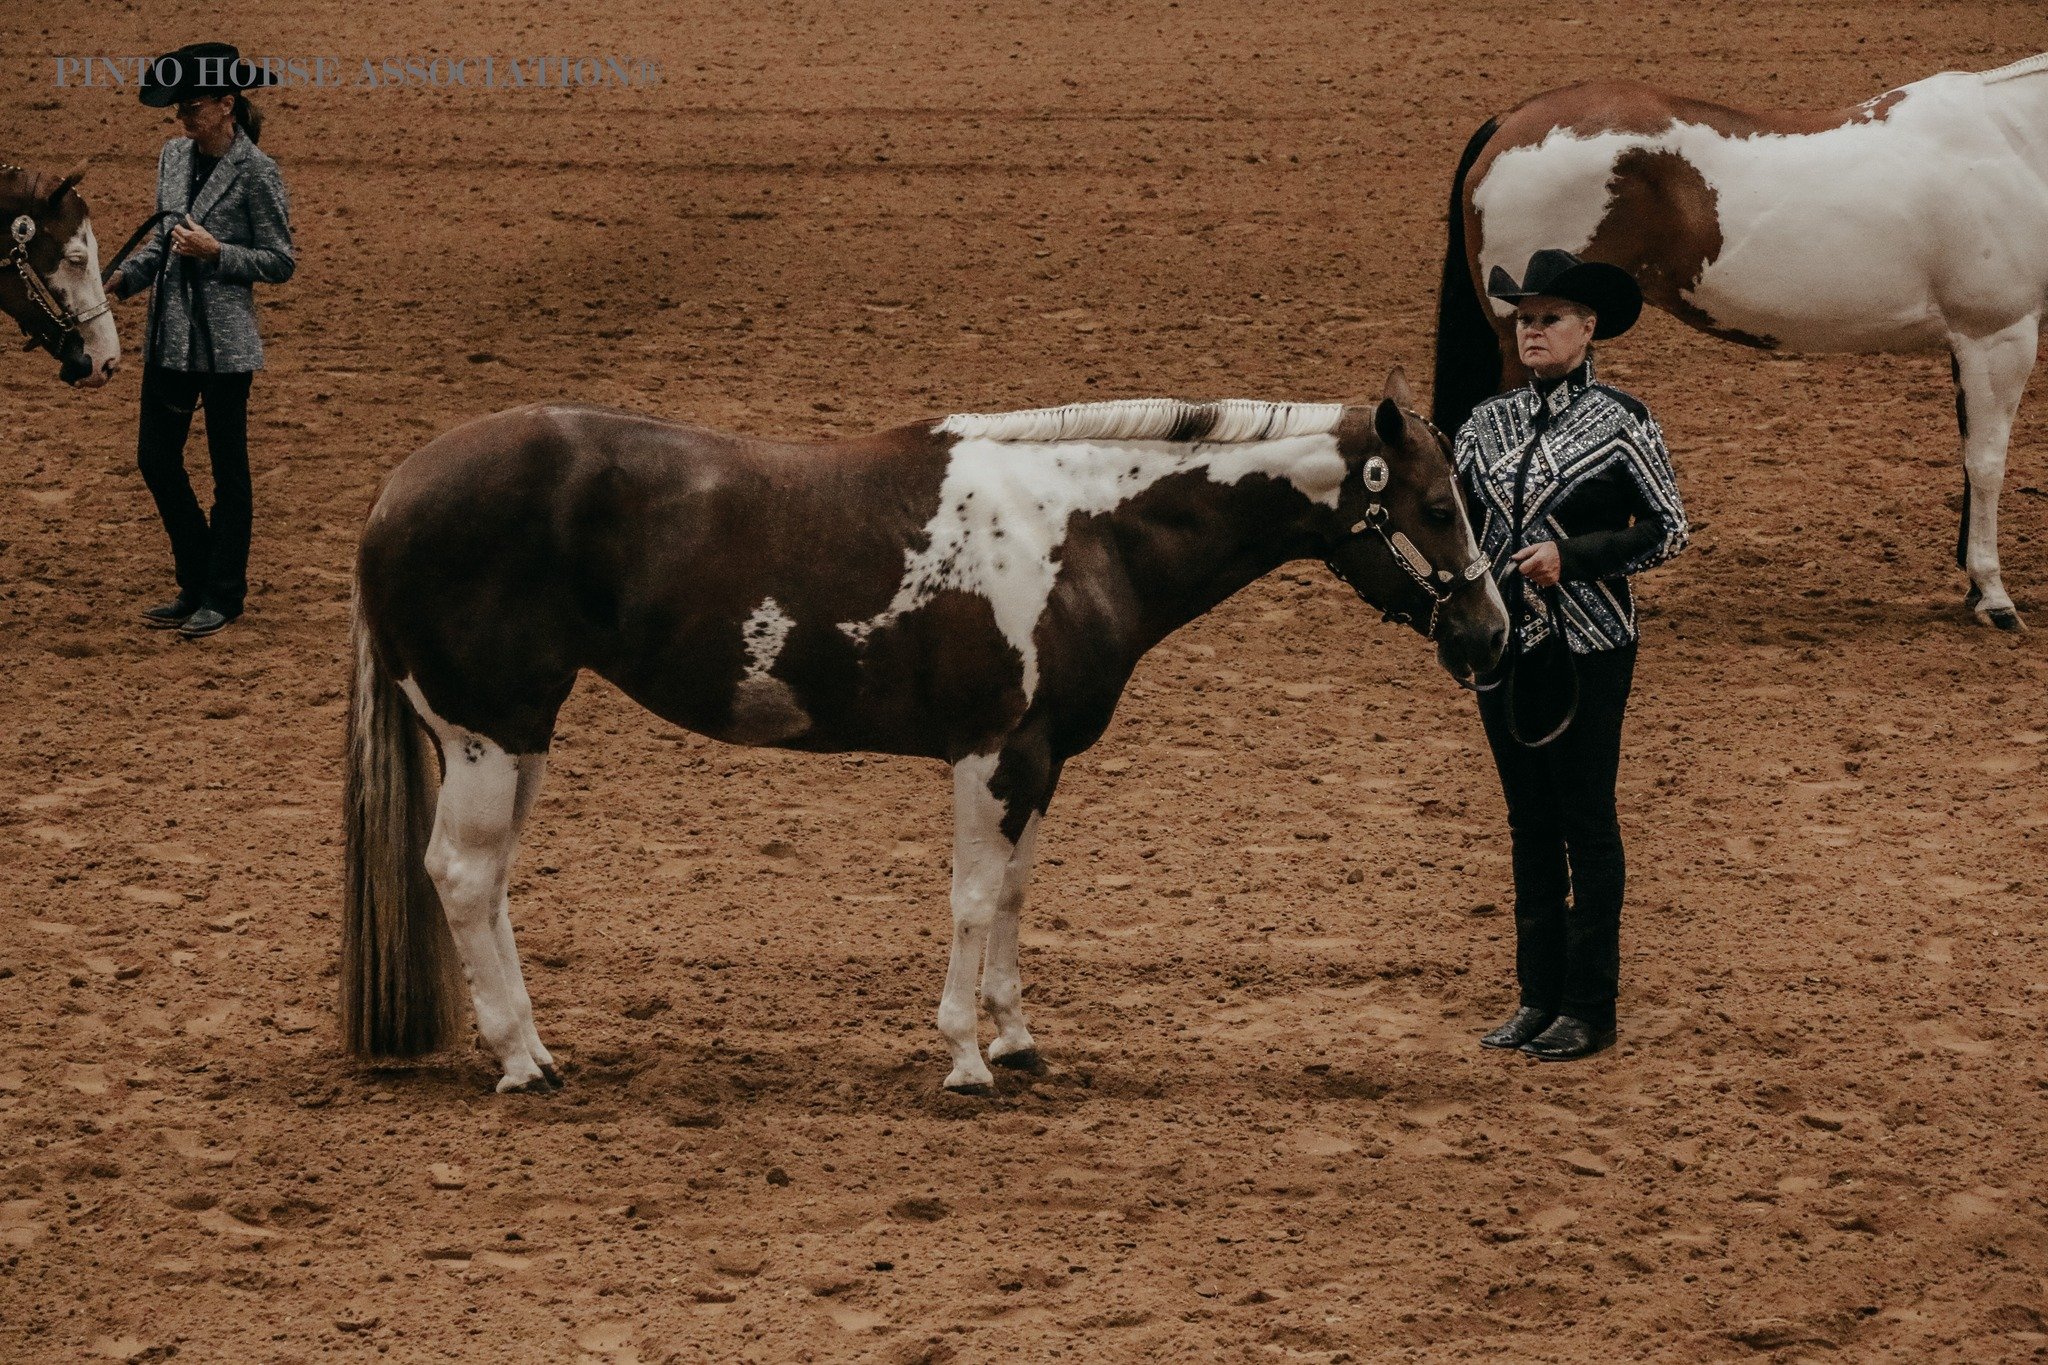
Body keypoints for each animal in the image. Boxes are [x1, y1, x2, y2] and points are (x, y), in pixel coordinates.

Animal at [340, 369, 1509, 1094]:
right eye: (1438, 506)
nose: (1493, 633)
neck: (1077, 531)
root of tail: (394, 493)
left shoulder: (1040, 761)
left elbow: (1017, 895)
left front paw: (1017, 1037)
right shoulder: (993, 754)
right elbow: (975, 897)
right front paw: (965, 1057)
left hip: (519, 736)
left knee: (483, 881)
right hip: (489, 733)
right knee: (462, 875)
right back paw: (524, 1061)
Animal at [1431, 54, 2048, 630]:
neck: (2013, 142)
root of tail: (1512, 121)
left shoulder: (1973, 343)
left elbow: (1970, 461)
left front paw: (1973, 587)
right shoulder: (1998, 335)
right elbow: (1987, 463)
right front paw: (1994, 597)